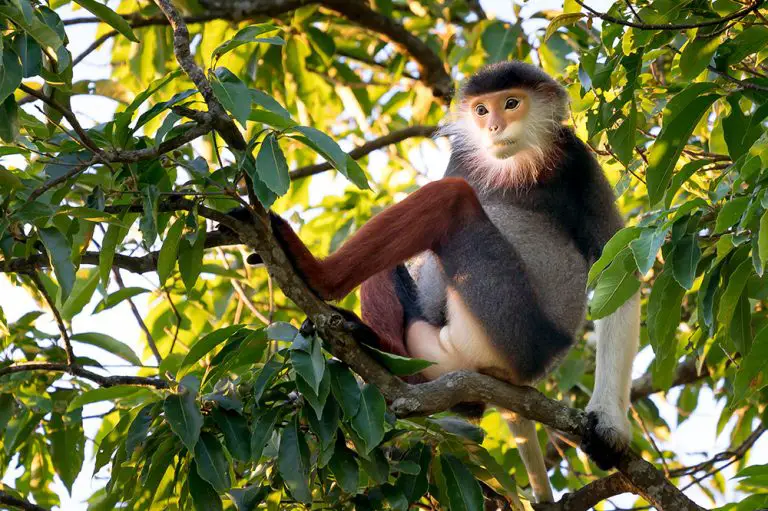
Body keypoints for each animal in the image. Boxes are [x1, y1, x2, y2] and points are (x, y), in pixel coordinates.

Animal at [246, 61, 641, 504]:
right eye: (482, 111)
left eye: (511, 103)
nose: (494, 126)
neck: (515, 163)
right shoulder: (464, 159)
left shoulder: (578, 162)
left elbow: (619, 267)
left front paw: (609, 425)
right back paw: (379, 348)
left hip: (503, 322)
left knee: (451, 200)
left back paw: (317, 276)